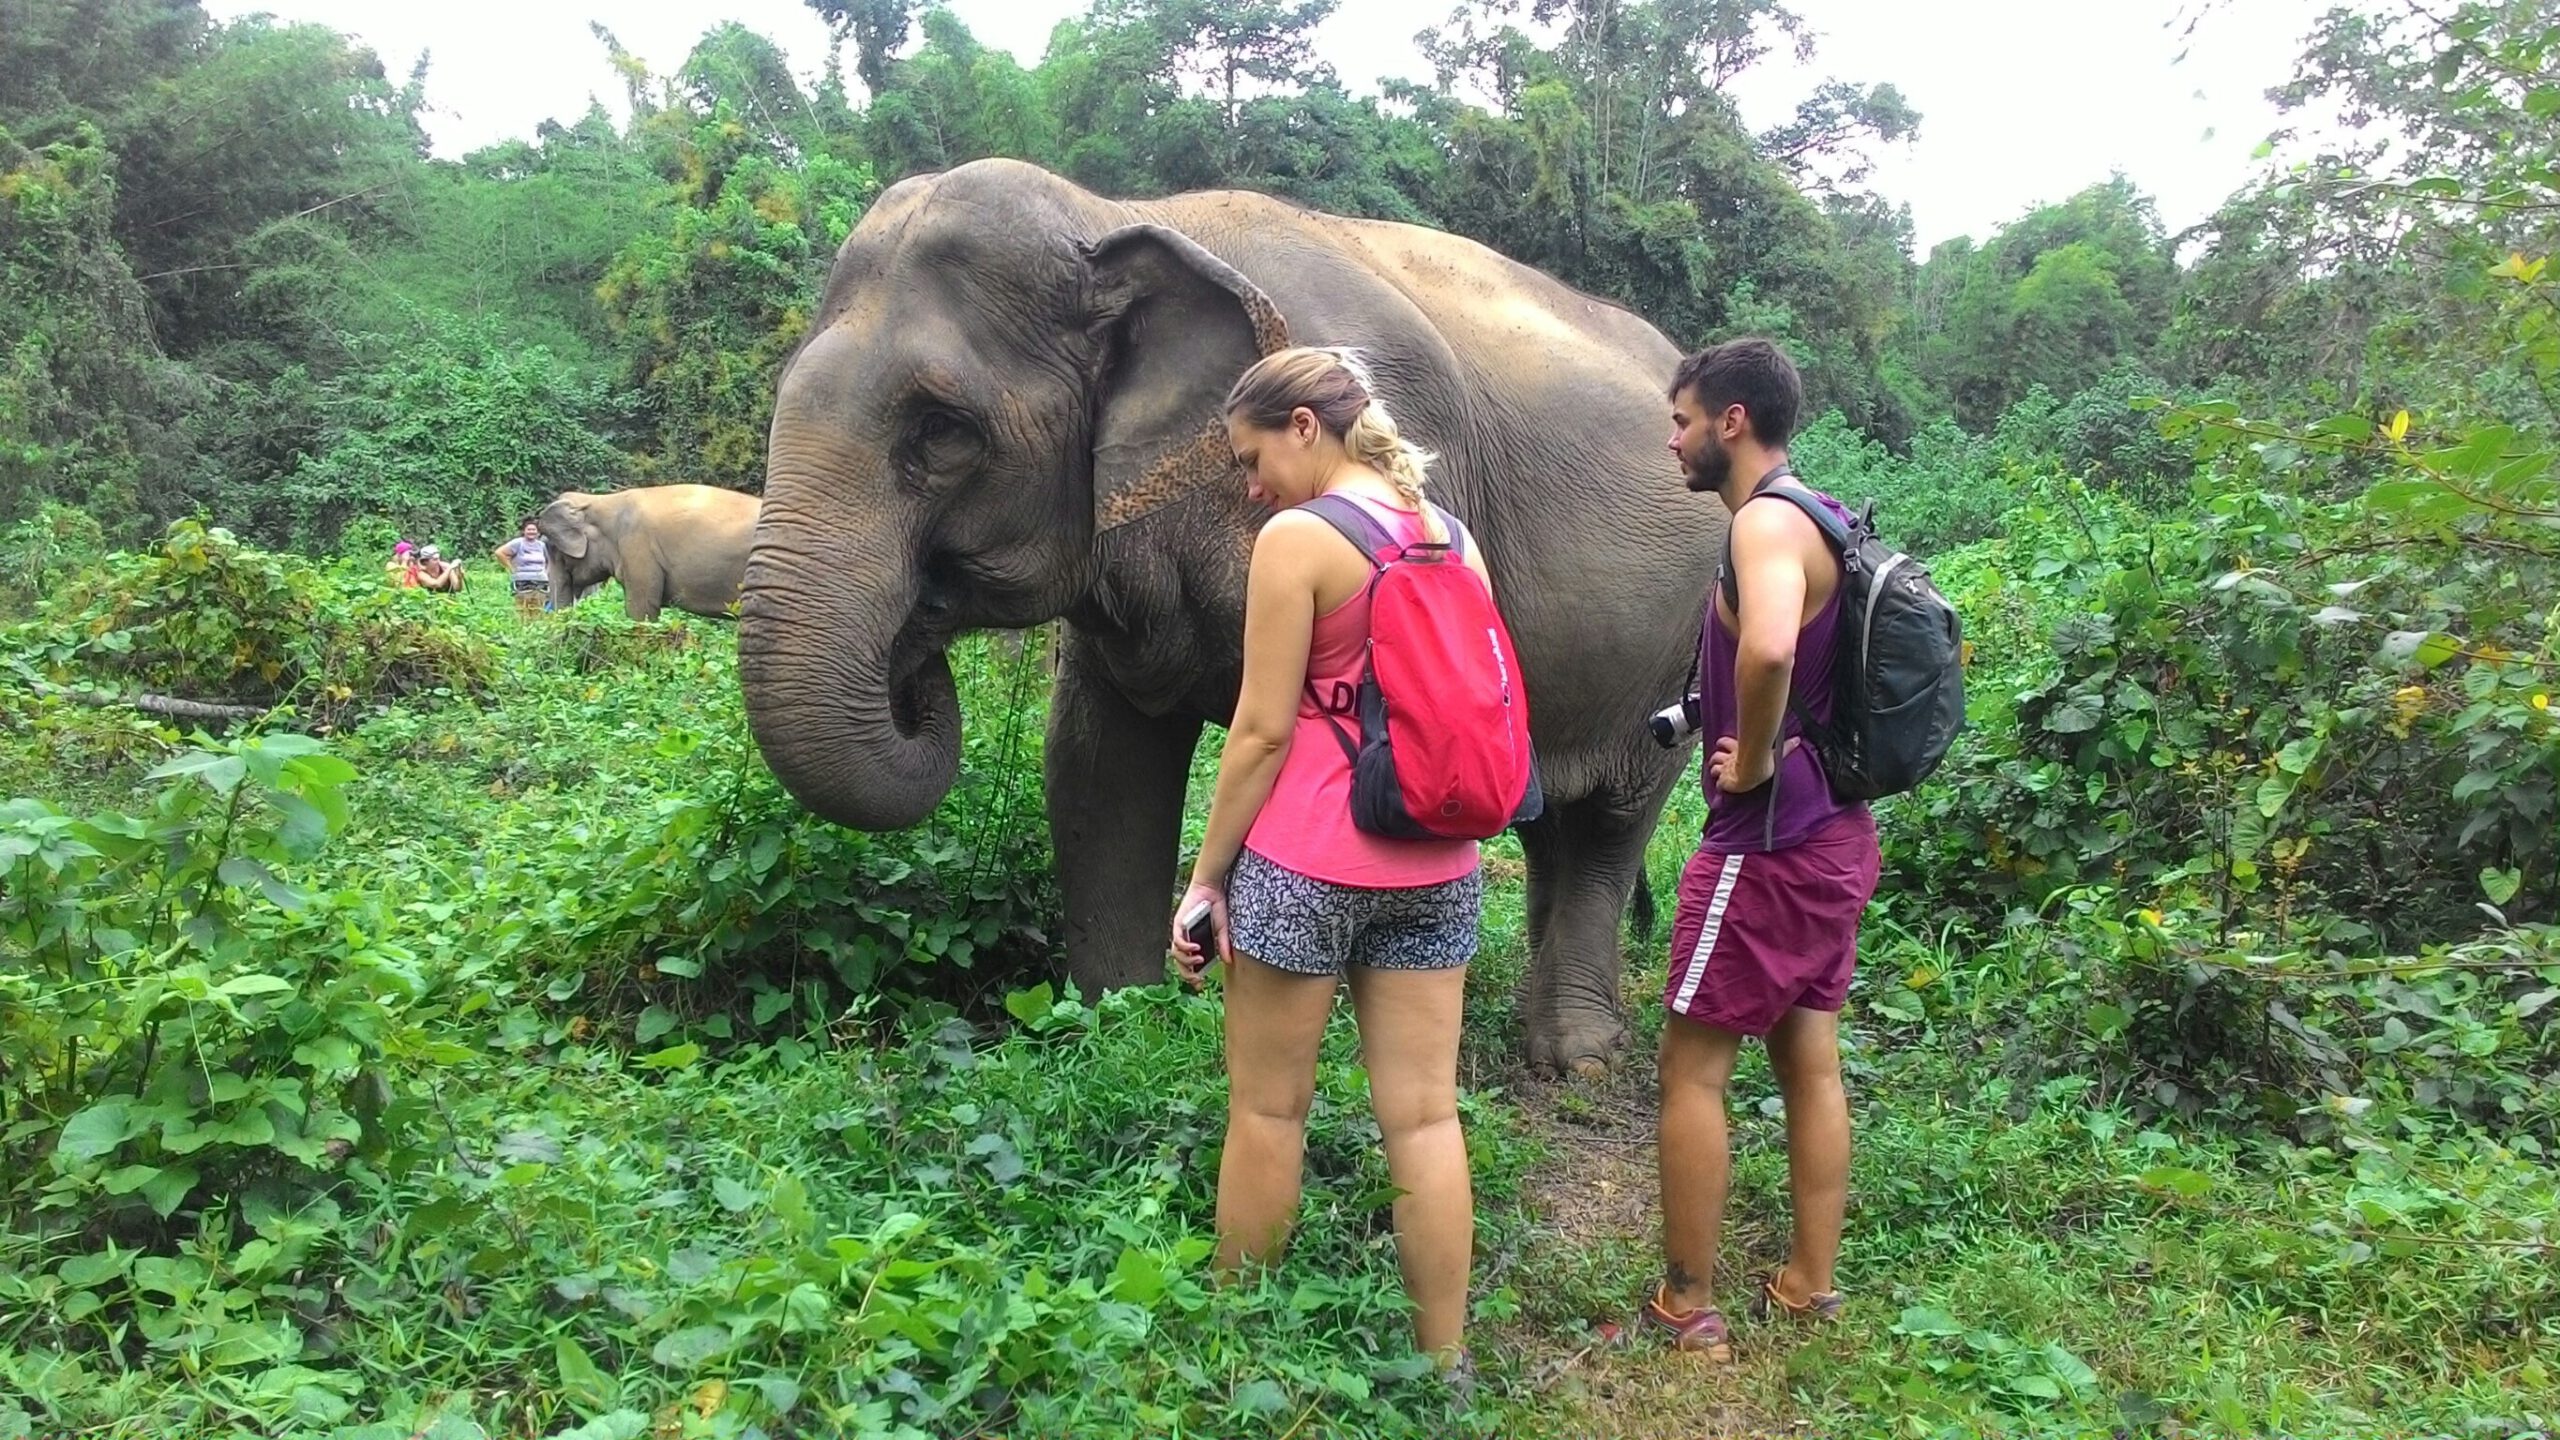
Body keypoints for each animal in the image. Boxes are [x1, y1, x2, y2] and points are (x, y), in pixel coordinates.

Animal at [738, 158, 1722, 1073]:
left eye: (942, 431)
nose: (914, 660)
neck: (1118, 211)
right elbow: (1095, 767)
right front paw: (1120, 1032)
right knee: (1556, 820)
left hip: (1682, 644)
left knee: (1613, 823)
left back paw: (1577, 1058)